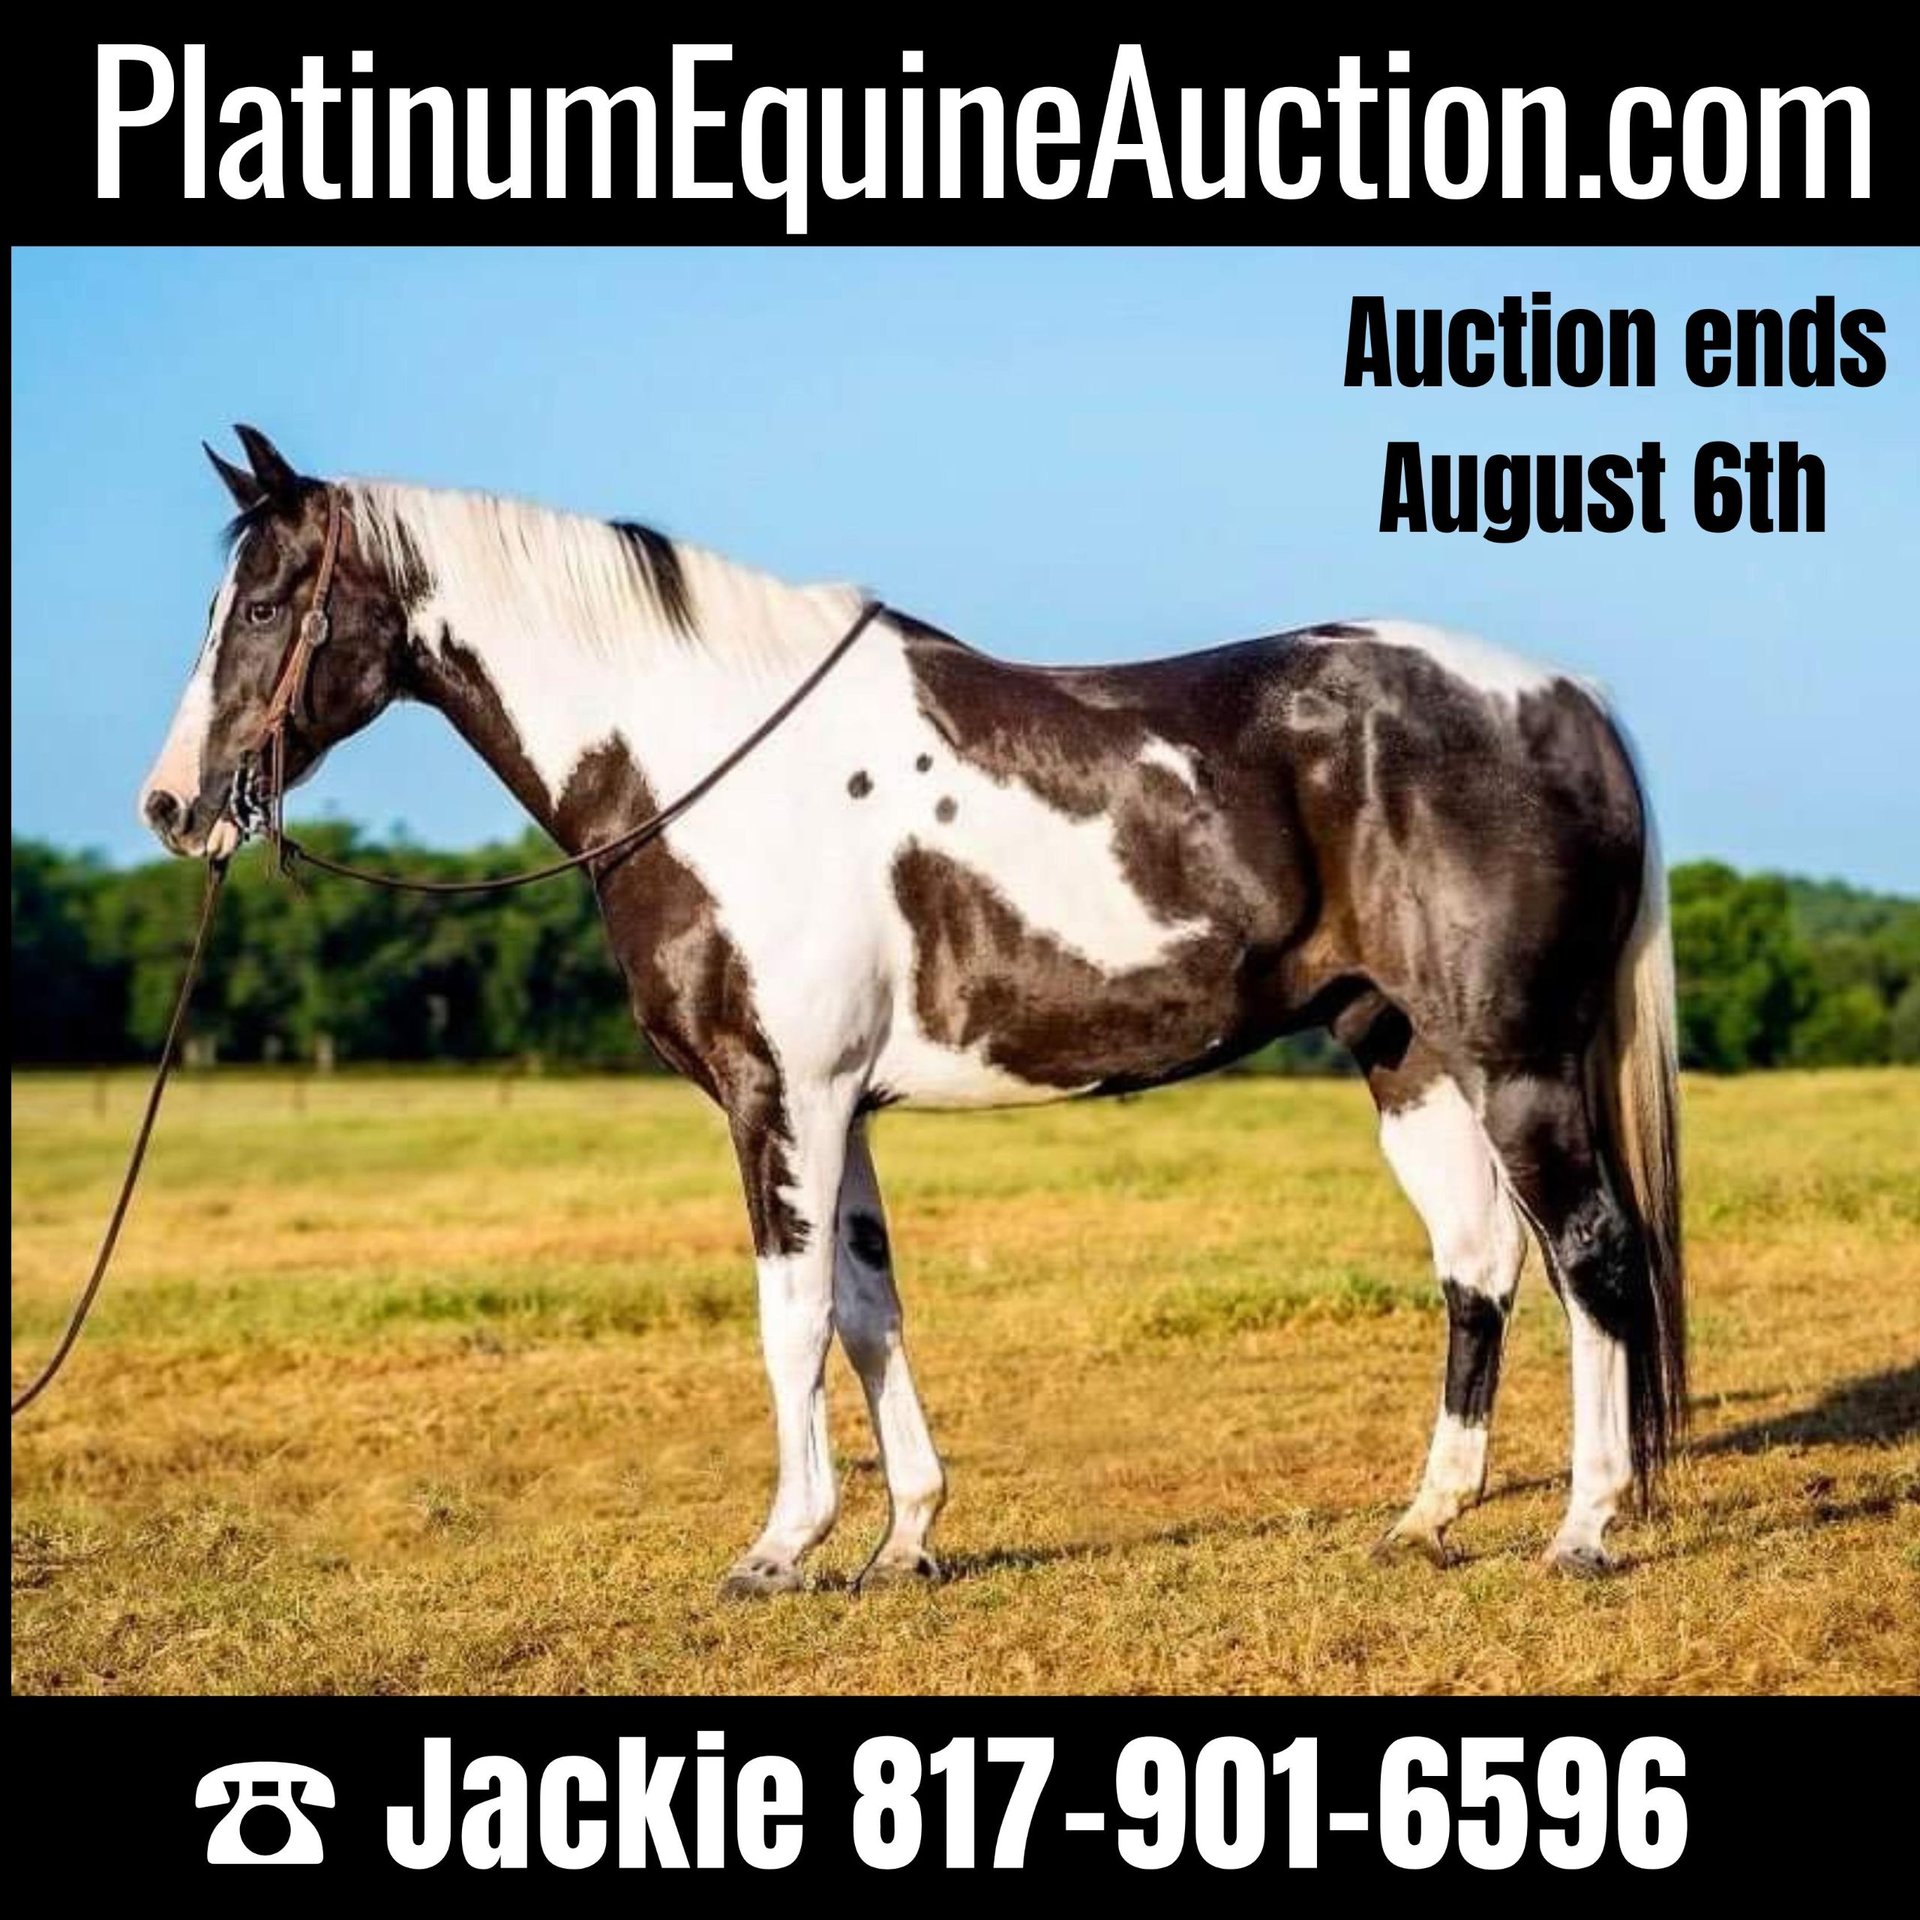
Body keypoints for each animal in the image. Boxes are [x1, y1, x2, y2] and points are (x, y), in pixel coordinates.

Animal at [140, 426, 1685, 1592]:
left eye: (265, 607)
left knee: (1593, 1252)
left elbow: (792, 1315)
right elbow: (873, 1310)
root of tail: (1568, 699)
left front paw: (781, 1549)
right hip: (1405, 1054)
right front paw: (905, 1542)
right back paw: (1427, 1520)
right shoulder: (845, 1109)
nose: (171, 808)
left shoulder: (781, 1100)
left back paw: (1585, 1528)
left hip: (1514, 1059)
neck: (707, 762)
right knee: (1480, 1261)